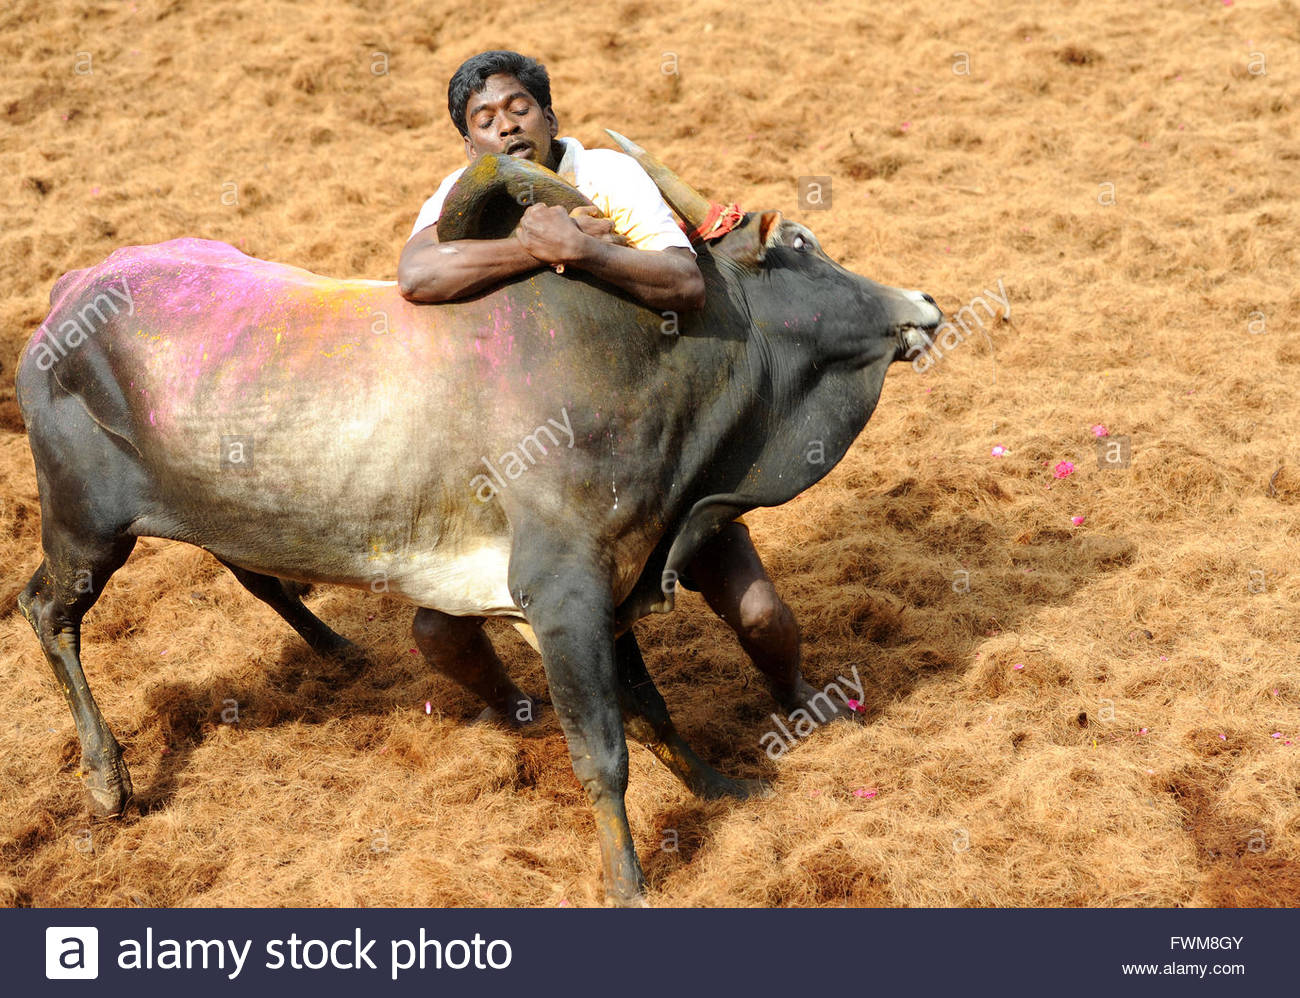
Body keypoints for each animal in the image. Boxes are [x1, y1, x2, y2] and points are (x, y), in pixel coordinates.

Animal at [15, 132, 942, 906]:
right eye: (802, 245)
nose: (925, 303)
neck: (646, 349)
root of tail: (69, 292)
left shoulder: (612, 587)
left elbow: (651, 712)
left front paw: (721, 787)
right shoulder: (564, 595)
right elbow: (604, 751)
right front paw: (629, 885)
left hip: (213, 510)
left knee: (257, 573)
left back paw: (339, 649)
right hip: (85, 527)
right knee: (45, 609)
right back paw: (107, 780)